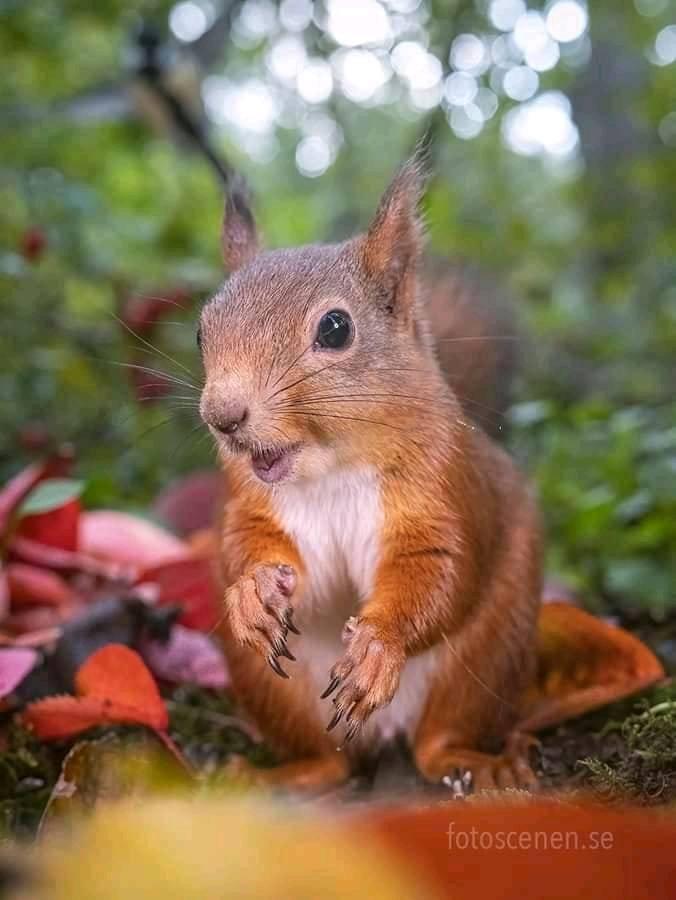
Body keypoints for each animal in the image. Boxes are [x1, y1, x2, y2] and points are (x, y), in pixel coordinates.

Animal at [198, 159, 543, 794]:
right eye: (202, 330)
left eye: (335, 329)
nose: (224, 416)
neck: (330, 467)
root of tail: (385, 735)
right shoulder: (252, 504)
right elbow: (248, 546)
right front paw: (255, 592)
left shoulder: (444, 491)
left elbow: (440, 573)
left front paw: (379, 646)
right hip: (273, 687)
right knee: (331, 762)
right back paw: (269, 775)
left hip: (488, 657)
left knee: (439, 742)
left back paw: (484, 765)